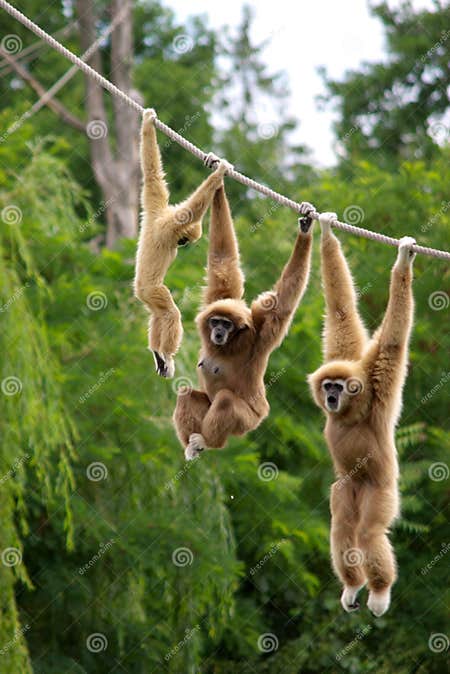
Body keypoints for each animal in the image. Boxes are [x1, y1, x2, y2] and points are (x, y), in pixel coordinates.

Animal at [134, 109, 230, 377]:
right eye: (184, 239)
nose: (183, 243)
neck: (163, 217)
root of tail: (138, 288)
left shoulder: (154, 207)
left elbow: (152, 175)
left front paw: (148, 122)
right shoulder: (170, 224)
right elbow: (192, 209)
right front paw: (219, 173)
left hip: (146, 294)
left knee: (157, 314)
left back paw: (158, 355)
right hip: (151, 290)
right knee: (169, 313)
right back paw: (166, 354)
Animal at [173, 191, 315, 460]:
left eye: (227, 325)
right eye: (216, 322)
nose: (218, 331)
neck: (230, 344)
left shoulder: (260, 333)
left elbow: (283, 303)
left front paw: (305, 230)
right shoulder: (218, 299)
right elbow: (223, 261)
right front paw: (219, 185)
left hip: (248, 420)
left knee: (226, 401)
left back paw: (209, 442)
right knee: (186, 393)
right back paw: (192, 445)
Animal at [307, 211, 416, 617]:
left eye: (340, 387)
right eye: (328, 385)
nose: (331, 394)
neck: (351, 412)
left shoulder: (376, 380)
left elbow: (393, 341)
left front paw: (403, 261)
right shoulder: (345, 353)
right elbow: (340, 309)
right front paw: (324, 231)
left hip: (381, 491)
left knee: (369, 532)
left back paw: (380, 593)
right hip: (347, 487)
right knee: (342, 524)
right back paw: (353, 586)